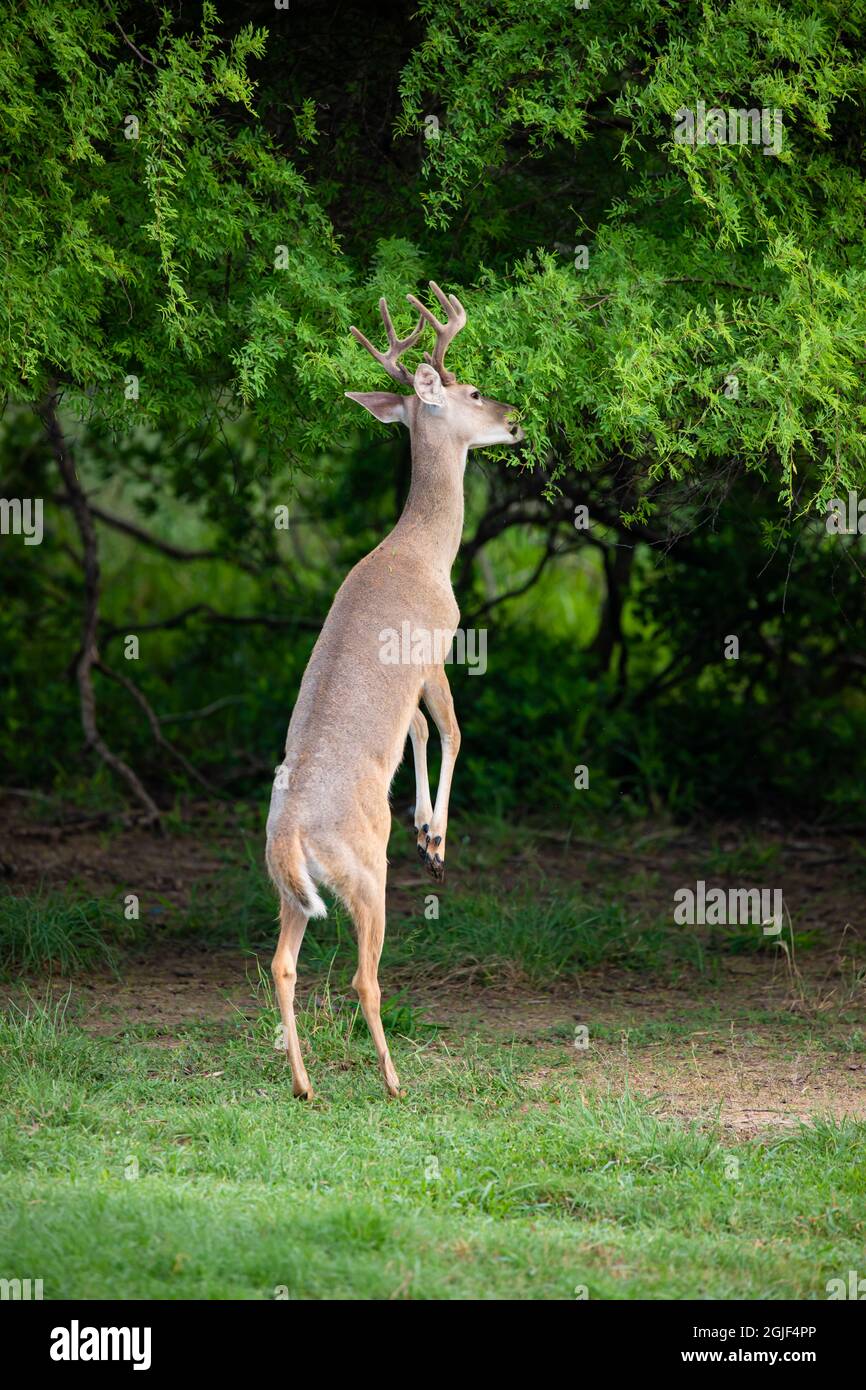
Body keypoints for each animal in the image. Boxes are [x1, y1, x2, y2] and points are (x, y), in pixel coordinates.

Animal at [265, 282, 523, 1098]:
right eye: (471, 391)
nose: (516, 418)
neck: (421, 552)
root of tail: (290, 836)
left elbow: (414, 731)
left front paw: (422, 823)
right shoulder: (438, 642)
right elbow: (451, 730)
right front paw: (434, 837)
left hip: (289, 893)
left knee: (281, 965)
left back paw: (304, 1084)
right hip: (362, 875)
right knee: (361, 978)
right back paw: (392, 1080)